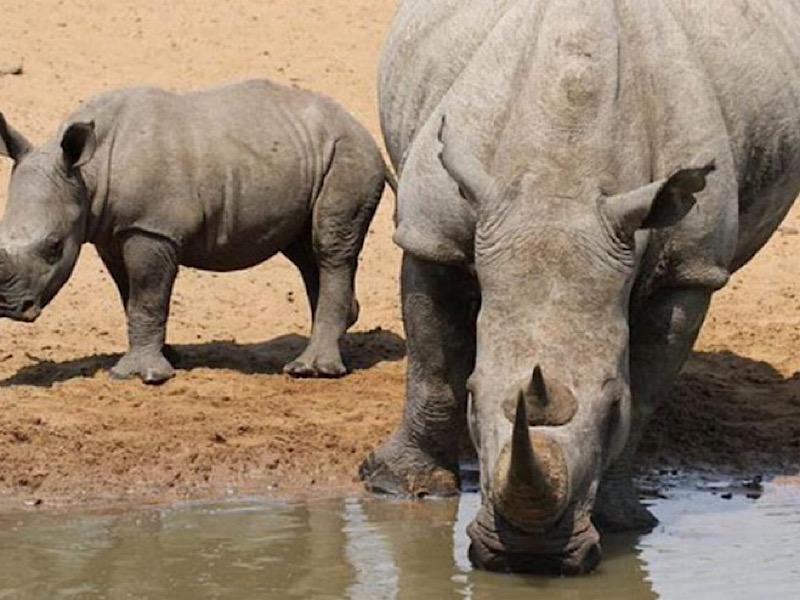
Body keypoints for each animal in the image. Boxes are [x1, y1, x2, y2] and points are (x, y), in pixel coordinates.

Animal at [0, 80, 389, 383]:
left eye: (54, 247)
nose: (8, 307)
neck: (88, 175)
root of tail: (360, 127)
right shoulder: (113, 233)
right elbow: (130, 295)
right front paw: (168, 355)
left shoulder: (152, 229)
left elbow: (146, 296)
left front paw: (141, 375)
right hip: (310, 155)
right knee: (304, 251)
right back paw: (338, 333)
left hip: (349, 153)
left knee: (329, 248)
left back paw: (310, 370)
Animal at [360, 0, 800, 575]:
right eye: (474, 397)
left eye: (612, 409)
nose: (530, 557)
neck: (560, 180)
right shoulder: (431, 234)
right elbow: (433, 368)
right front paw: (401, 487)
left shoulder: (690, 269)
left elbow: (645, 392)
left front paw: (623, 521)